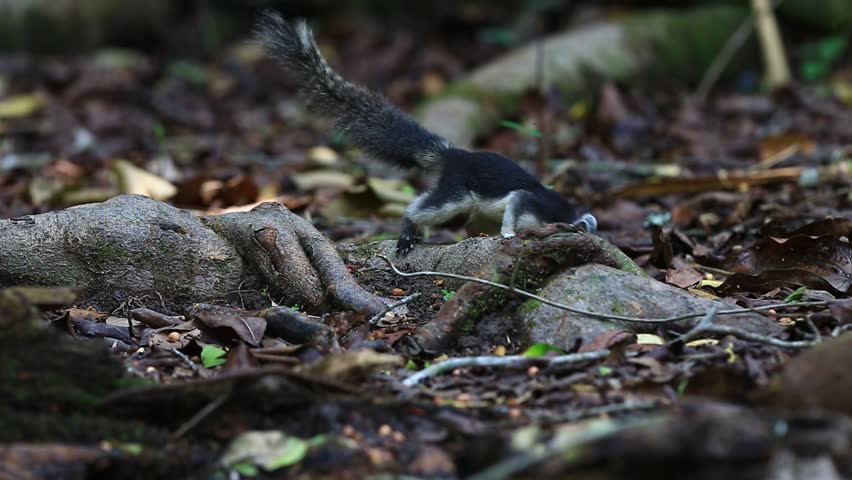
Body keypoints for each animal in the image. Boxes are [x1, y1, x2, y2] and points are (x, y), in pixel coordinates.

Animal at [254, 11, 596, 255]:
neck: (566, 212)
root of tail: (454, 154)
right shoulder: (532, 203)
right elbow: (517, 202)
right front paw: (510, 234)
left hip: (476, 207)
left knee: (471, 222)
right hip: (457, 191)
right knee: (427, 208)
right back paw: (409, 231)